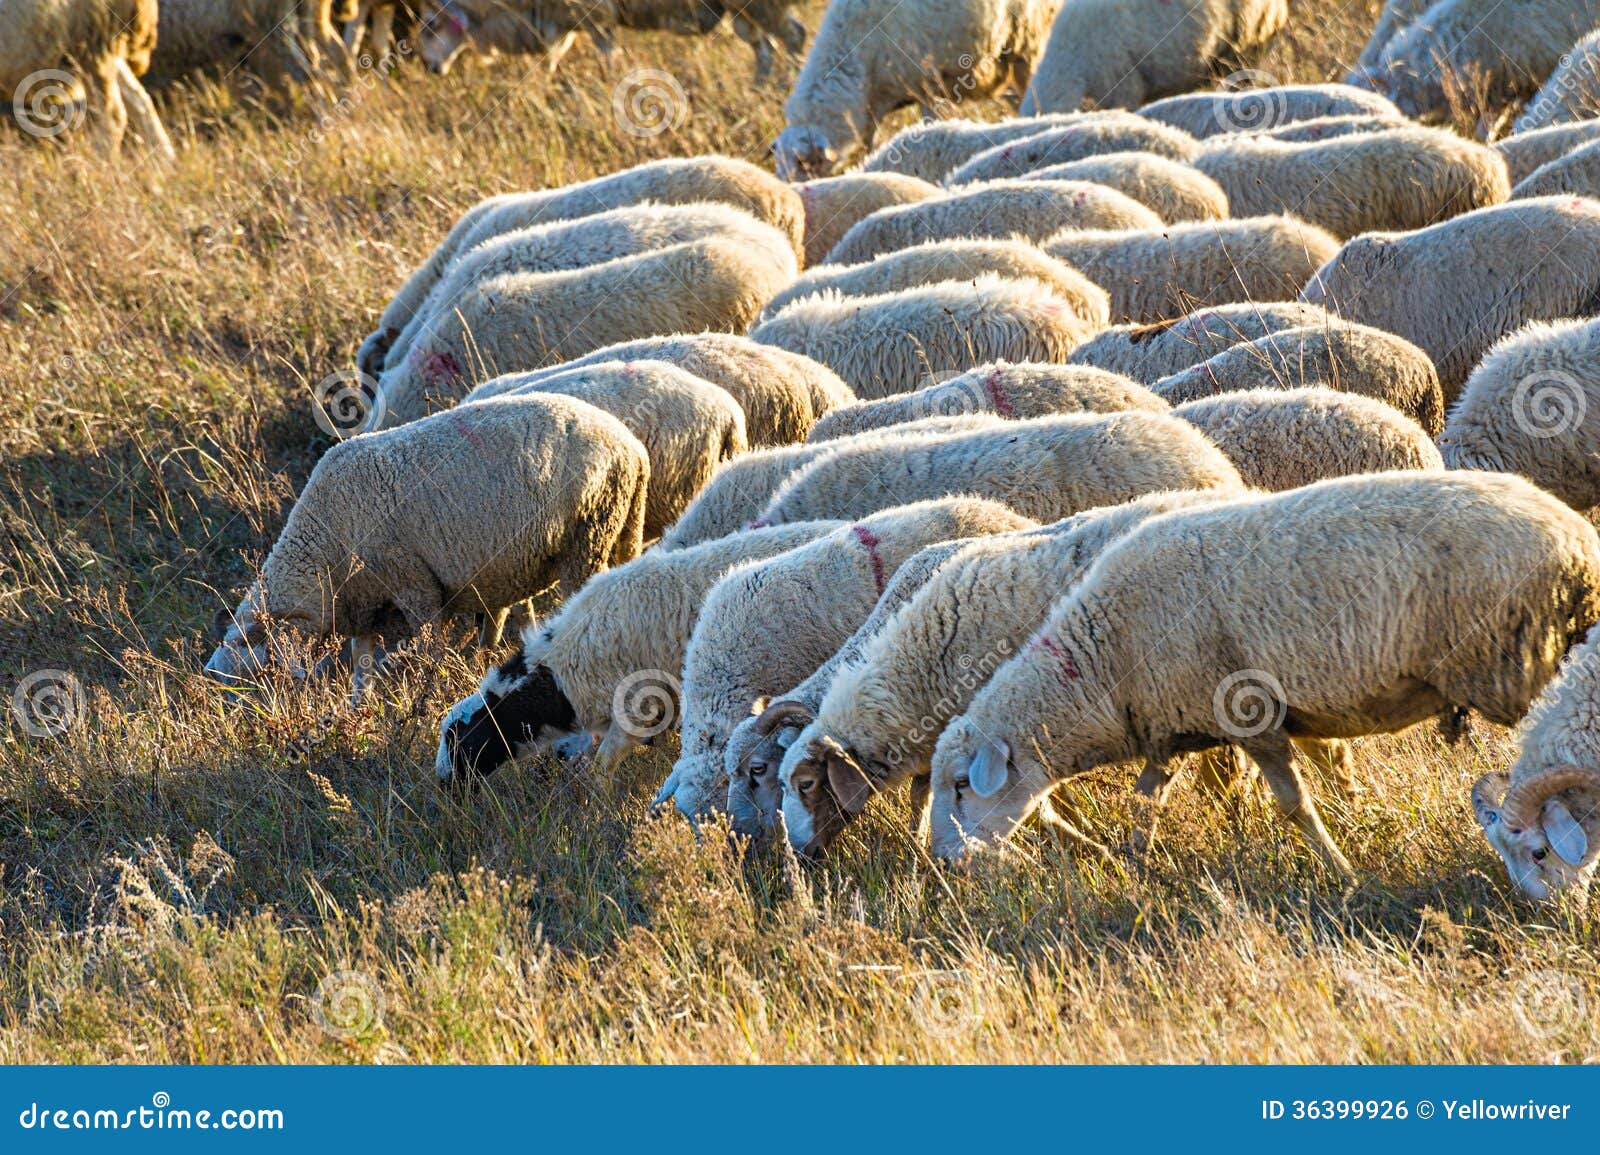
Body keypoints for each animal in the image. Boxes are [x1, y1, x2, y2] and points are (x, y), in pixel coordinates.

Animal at [2, 0, 173, 161]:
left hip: (92, 47)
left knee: (113, 116)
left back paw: (101, 161)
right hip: (102, 50)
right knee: (140, 101)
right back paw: (165, 158)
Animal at [206, 393, 652, 699]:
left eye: (256, 677)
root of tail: (631, 446)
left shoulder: (411, 582)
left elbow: (428, 646)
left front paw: (429, 686)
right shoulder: (365, 606)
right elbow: (362, 669)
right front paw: (360, 710)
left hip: (589, 531)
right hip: (619, 525)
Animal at [770, 0, 1060, 178]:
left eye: (803, 163)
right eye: (778, 165)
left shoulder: (928, 88)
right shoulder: (871, 110)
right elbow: (867, 147)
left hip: (1026, 39)